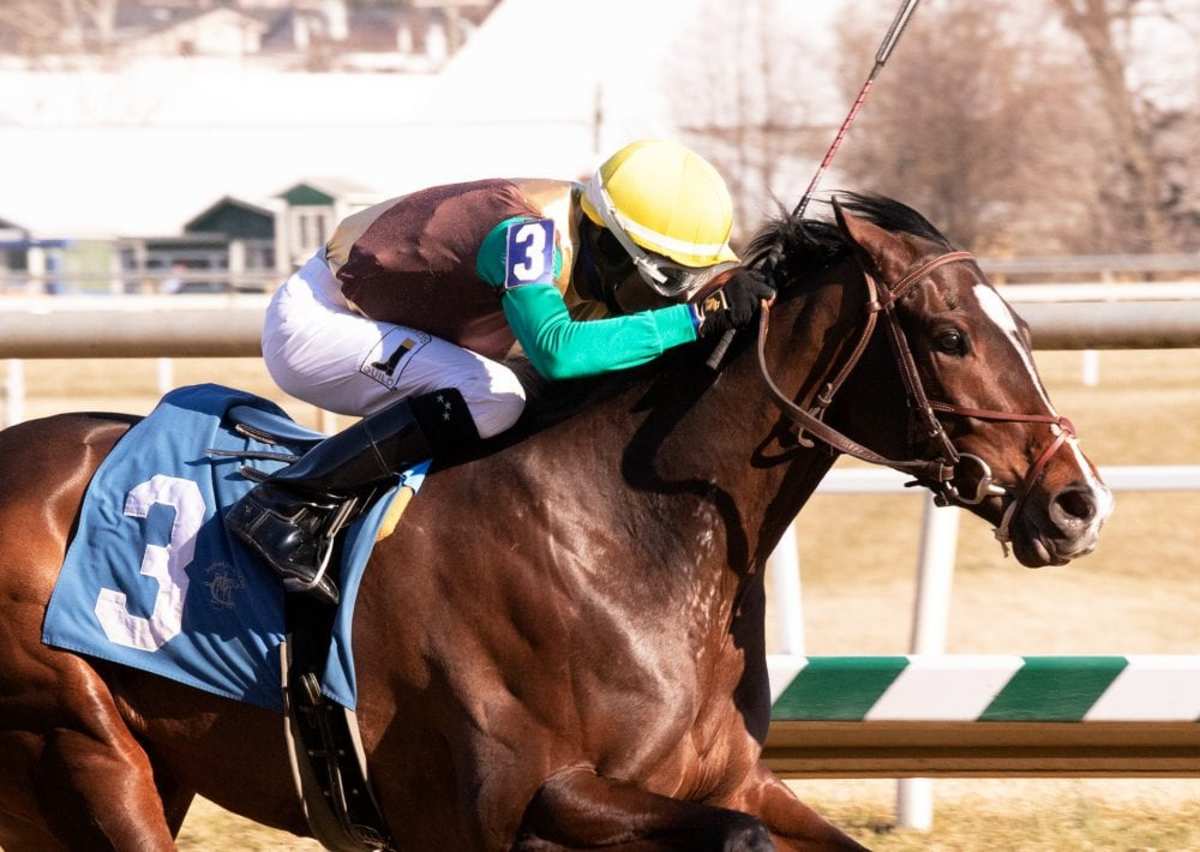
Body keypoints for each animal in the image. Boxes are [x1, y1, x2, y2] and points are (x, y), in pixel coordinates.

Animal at [0, 194, 1112, 851]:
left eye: (1023, 325)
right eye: (951, 334)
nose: (1076, 501)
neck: (629, 540)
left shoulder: (732, 776)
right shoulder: (531, 803)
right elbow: (732, 838)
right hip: (89, 746)